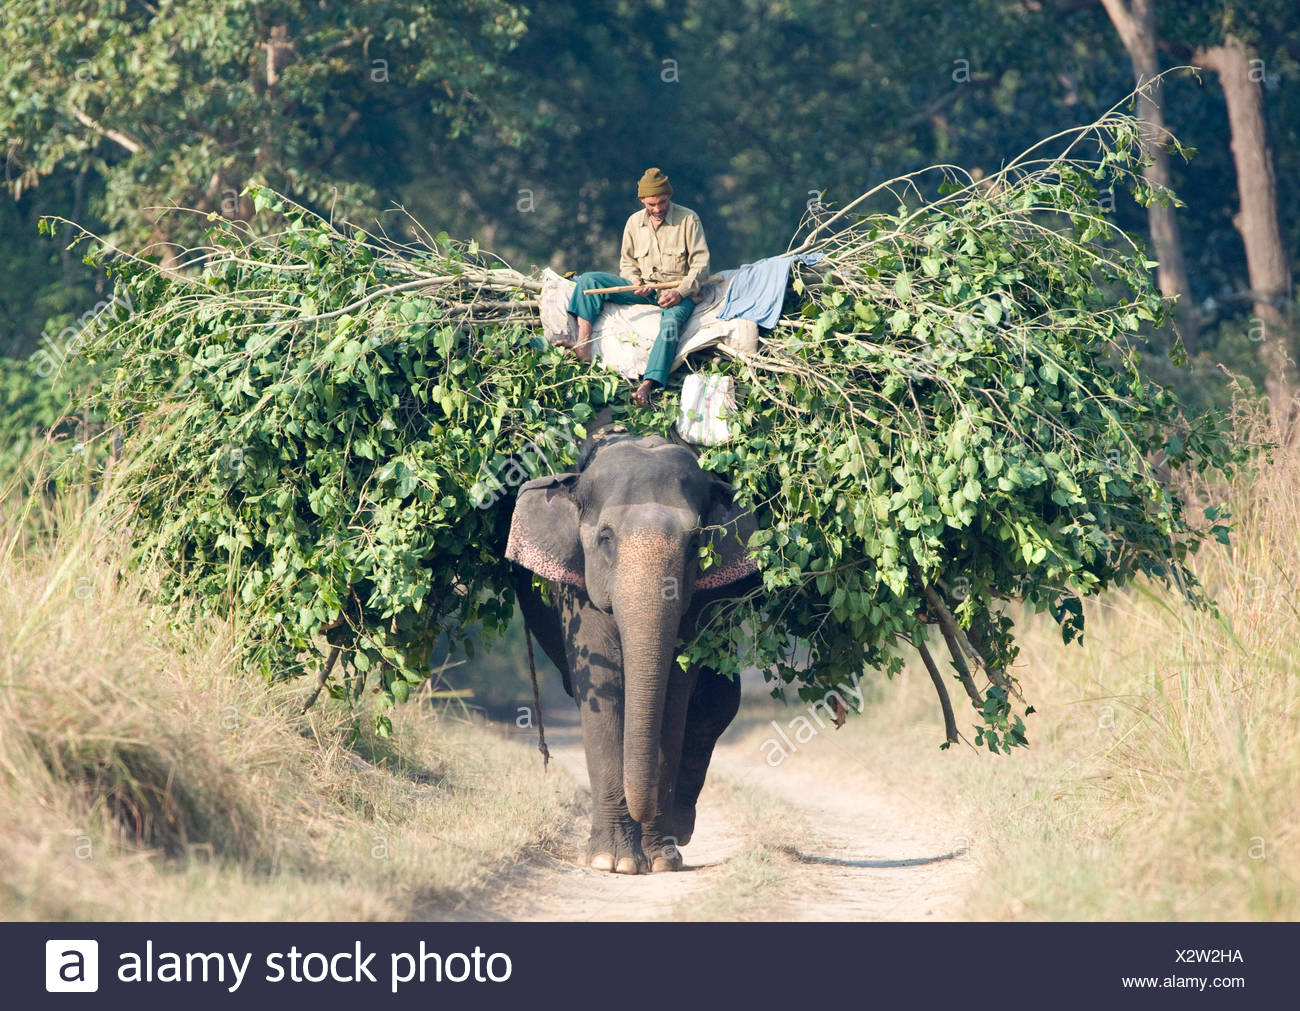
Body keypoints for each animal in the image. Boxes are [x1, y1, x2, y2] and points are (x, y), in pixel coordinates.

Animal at [505, 423, 759, 873]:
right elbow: (603, 682)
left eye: (695, 543)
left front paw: (659, 860)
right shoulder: (577, 590)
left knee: (717, 702)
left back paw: (681, 829)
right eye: (605, 538)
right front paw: (613, 862)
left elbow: (674, 693)